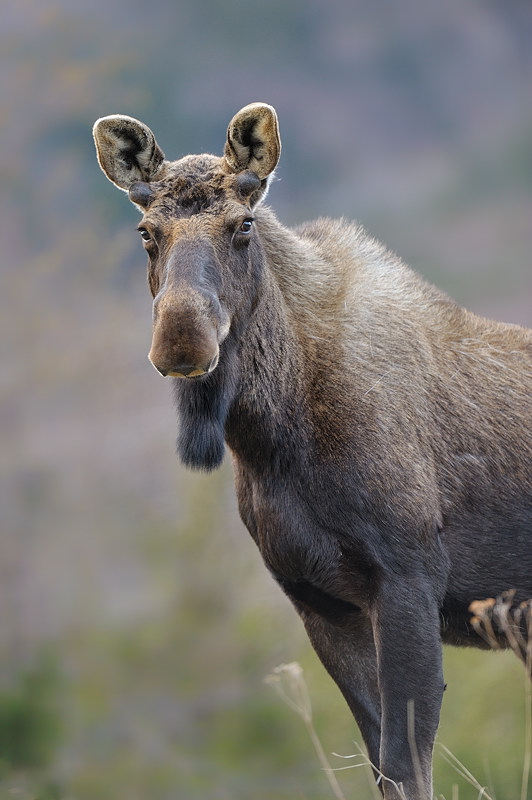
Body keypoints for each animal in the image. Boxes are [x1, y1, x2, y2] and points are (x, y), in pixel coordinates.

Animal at [93, 103, 532, 799]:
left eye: (243, 224)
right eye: (144, 231)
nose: (181, 341)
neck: (273, 436)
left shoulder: (408, 579)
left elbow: (407, 763)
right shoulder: (320, 601)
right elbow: (383, 763)